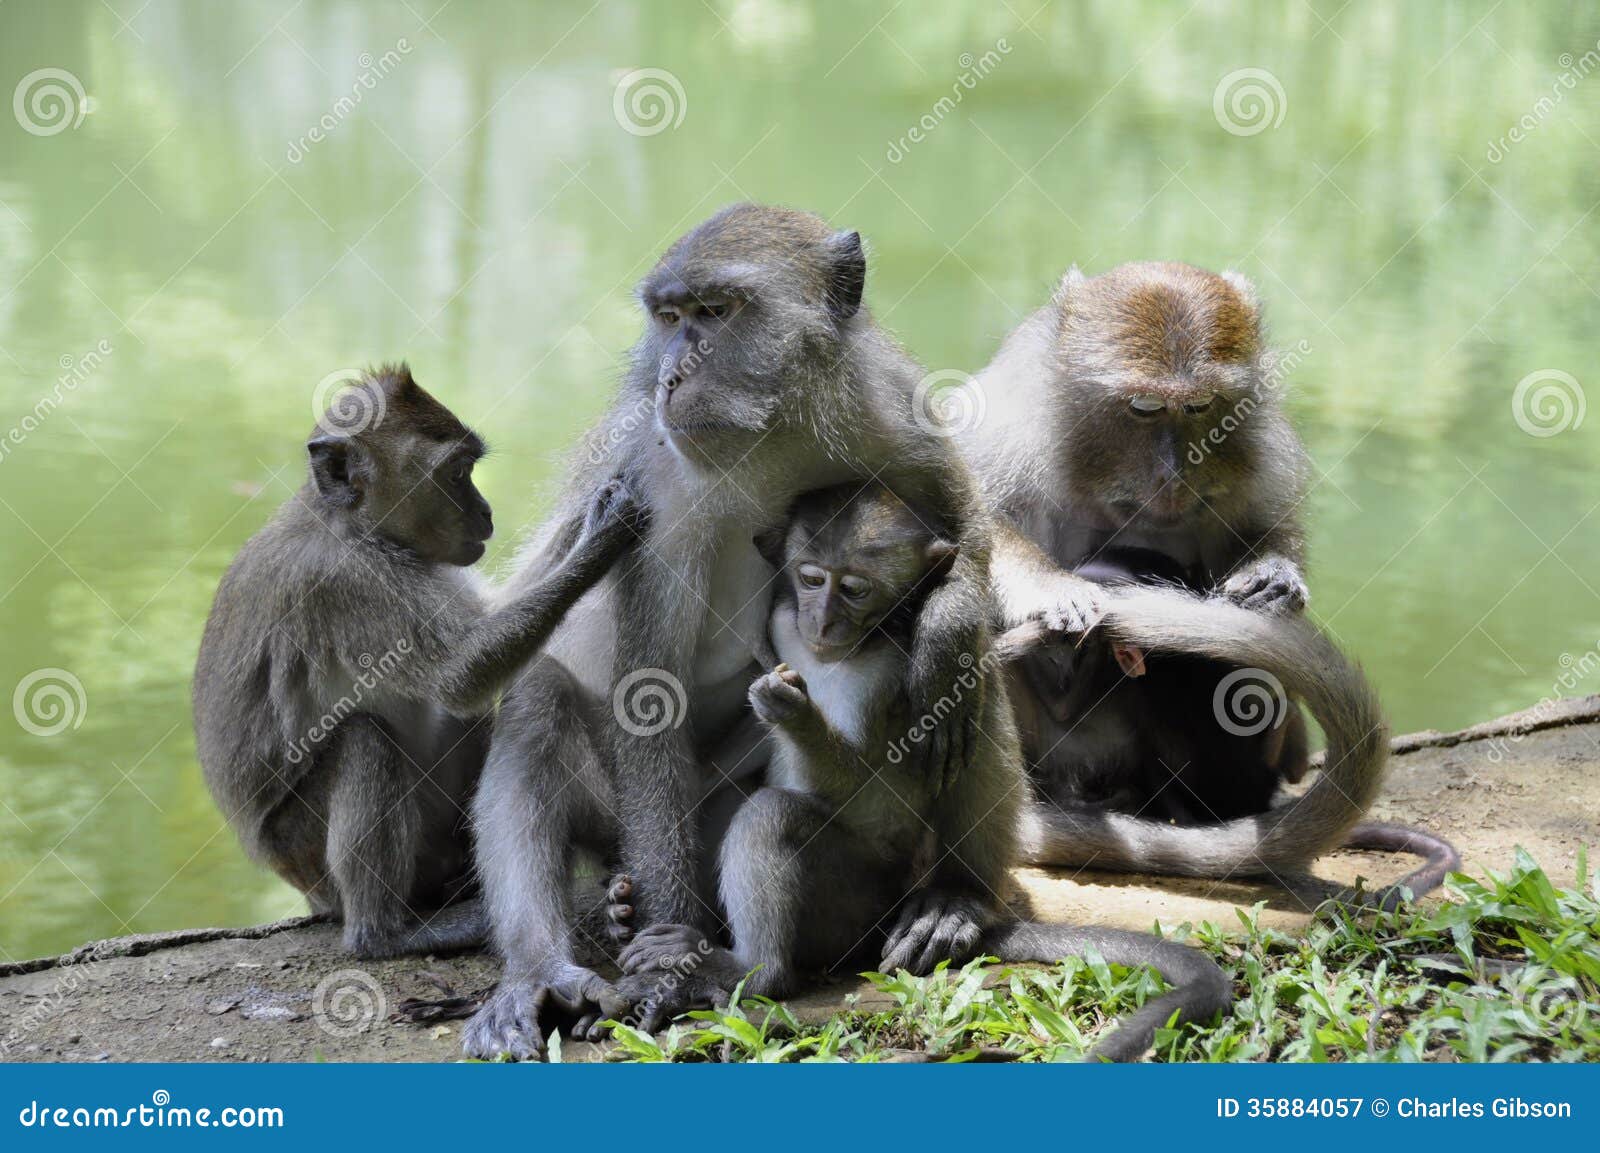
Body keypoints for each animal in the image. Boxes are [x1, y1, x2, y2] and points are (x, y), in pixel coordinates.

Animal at [193, 364, 646, 959]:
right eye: (457, 474)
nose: (485, 512)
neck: (359, 529)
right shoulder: (345, 584)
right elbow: (462, 674)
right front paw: (603, 535)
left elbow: (489, 625)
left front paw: (592, 504)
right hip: (304, 854)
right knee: (366, 740)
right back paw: (385, 934)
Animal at [463, 205, 1001, 1060]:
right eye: (669, 317)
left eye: (715, 313)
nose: (670, 378)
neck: (767, 434)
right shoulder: (650, 484)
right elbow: (647, 689)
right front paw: (666, 959)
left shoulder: (888, 405)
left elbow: (963, 524)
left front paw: (948, 625)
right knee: (541, 695)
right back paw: (548, 963)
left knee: (975, 683)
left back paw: (956, 897)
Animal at [608, 483, 1231, 1062]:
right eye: (811, 578)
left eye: (854, 589)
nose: (822, 621)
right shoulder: (785, 624)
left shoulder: (883, 675)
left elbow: (878, 796)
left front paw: (794, 713)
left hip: (855, 899)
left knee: (773, 816)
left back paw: (753, 970)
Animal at [959, 261, 1457, 905]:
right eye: (1144, 406)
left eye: (1199, 405)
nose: (1175, 473)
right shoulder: (1008, 420)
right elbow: (966, 523)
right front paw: (1051, 588)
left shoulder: (1258, 442)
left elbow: (1269, 534)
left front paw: (1274, 578)